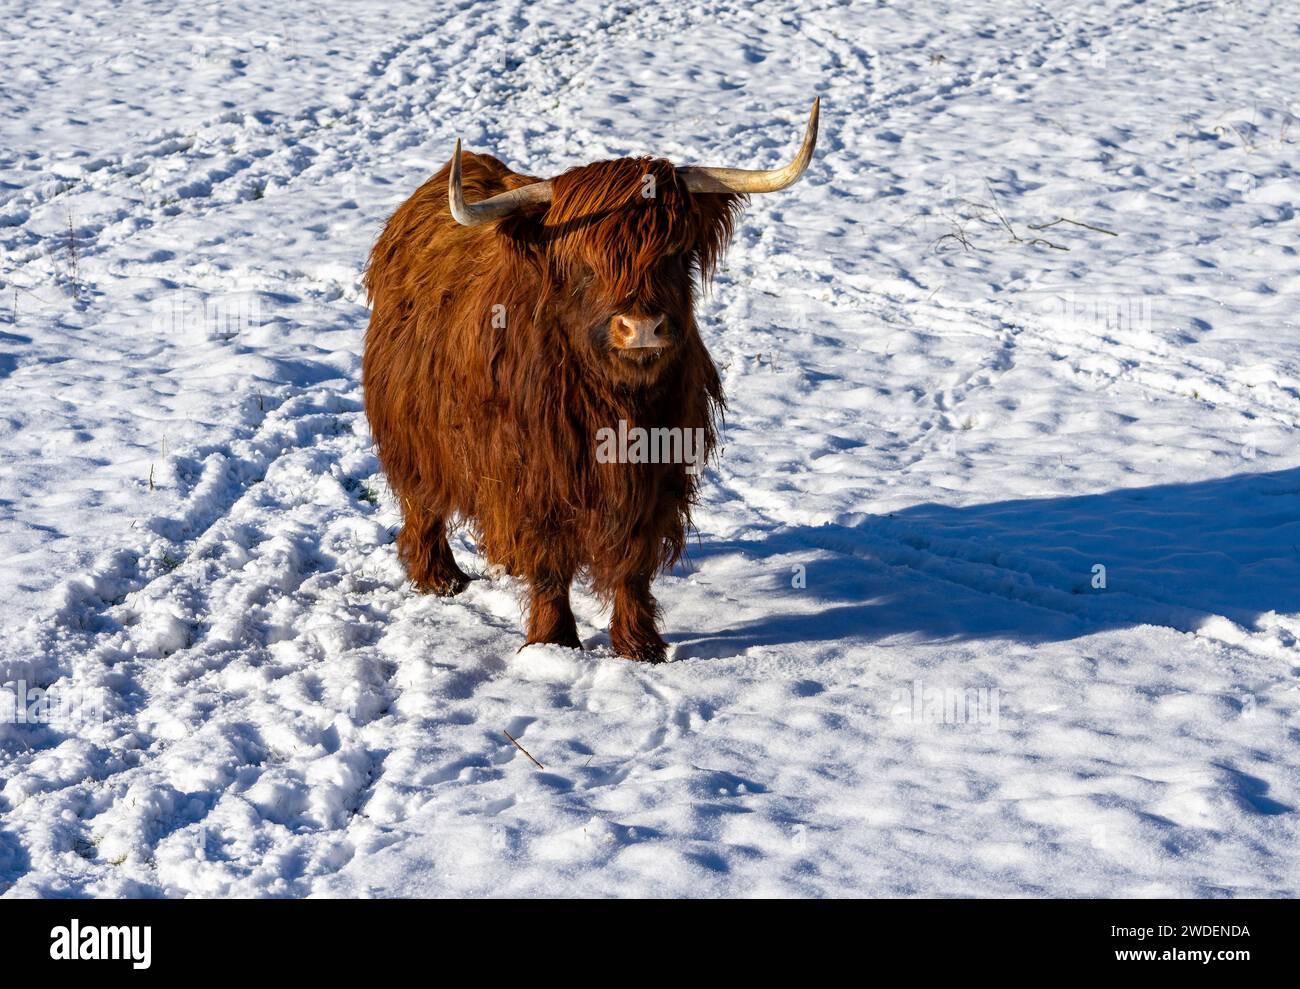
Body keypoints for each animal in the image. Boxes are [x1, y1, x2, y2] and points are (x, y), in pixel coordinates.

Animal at [362, 100, 820, 662]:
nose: (641, 327)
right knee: (422, 500)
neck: (616, 407)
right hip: (412, 430)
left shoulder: (657, 470)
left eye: (675, 253)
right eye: (585, 265)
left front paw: (640, 645)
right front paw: (553, 641)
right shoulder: (533, 471)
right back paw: (440, 577)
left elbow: (634, 561)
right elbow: (548, 559)